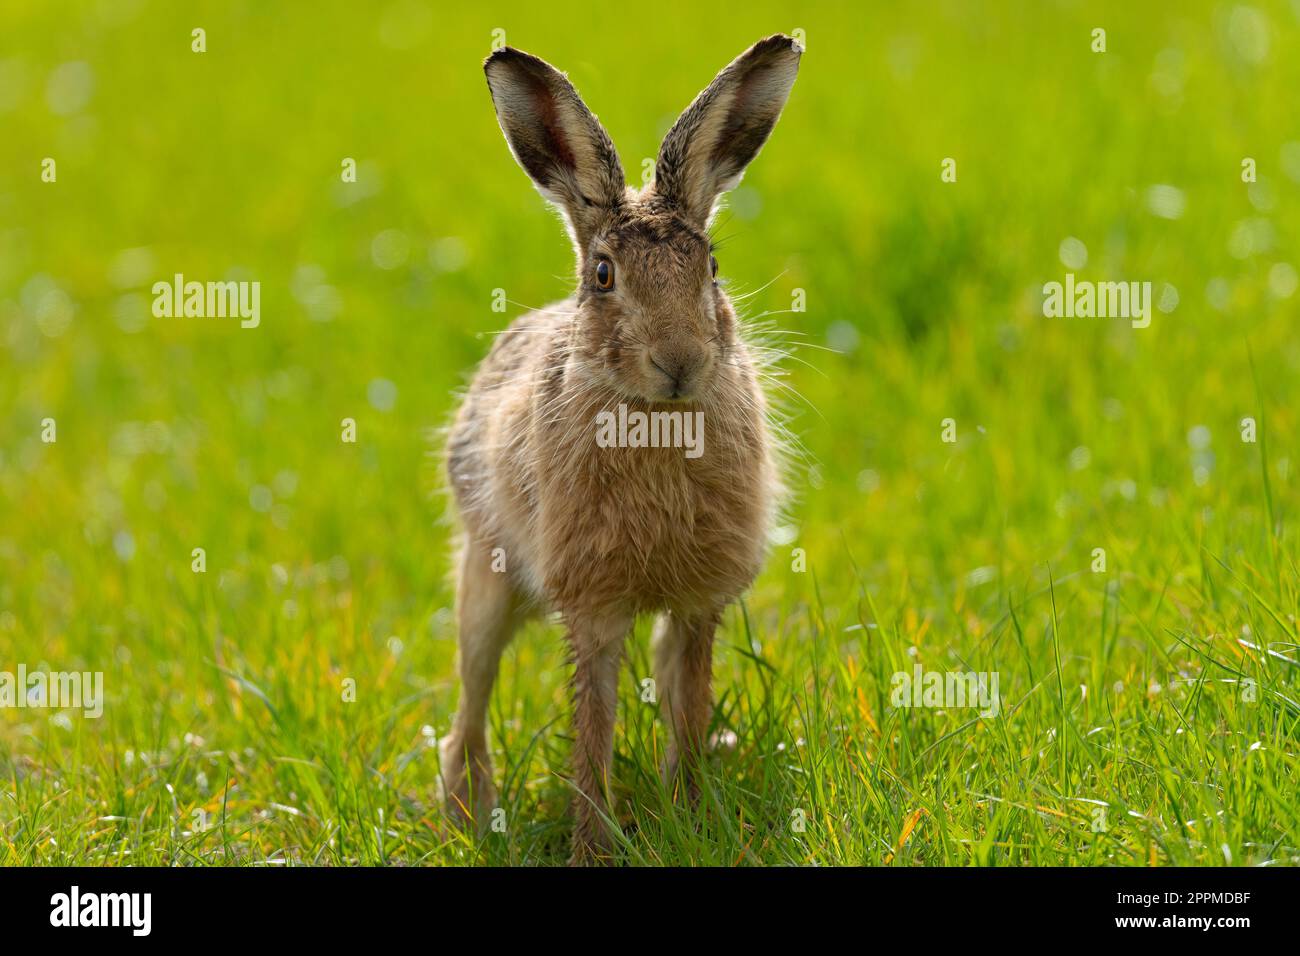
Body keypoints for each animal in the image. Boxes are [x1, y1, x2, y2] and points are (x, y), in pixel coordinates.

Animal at [440, 34, 801, 864]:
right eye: (604, 275)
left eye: (711, 268)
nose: (680, 362)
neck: (655, 419)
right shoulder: (594, 605)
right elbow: (594, 729)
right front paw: (592, 848)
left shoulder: (700, 600)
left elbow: (689, 708)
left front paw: (693, 819)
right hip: (485, 572)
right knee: (471, 696)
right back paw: (467, 813)